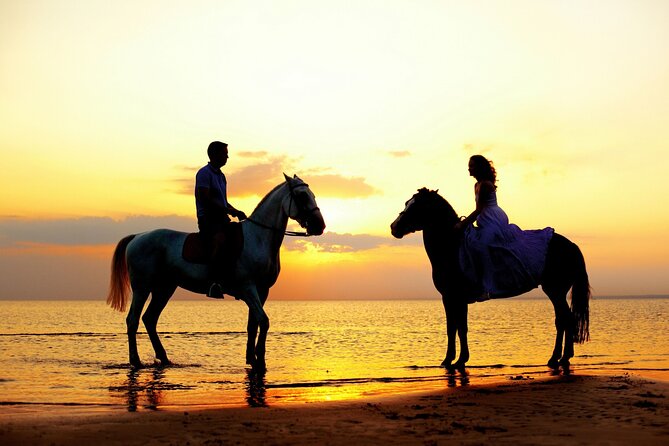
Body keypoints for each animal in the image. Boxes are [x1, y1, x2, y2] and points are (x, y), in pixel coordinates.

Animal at [107, 174, 325, 371]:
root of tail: (138, 237)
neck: (258, 237)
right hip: (142, 288)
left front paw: (252, 359)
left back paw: (164, 358)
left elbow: (253, 324)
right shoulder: (248, 287)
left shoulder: (262, 290)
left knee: (149, 319)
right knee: (133, 320)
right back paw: (135, 361)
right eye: (302, 196)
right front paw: (260, 361)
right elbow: (263, 321)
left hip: (165, 288)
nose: (320, 226)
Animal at [390, 188, 590, 371]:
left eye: (416, 206)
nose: (394, 227)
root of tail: (571, 245)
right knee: (563, 319)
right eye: (407, 203)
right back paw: (560, 358)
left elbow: (456, 327)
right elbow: (457, 327)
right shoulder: (454, 299)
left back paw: (560, 358)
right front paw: (454, 359)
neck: (452, 247)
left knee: (565, 319)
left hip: (555, 290)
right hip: (557, 291)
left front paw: (454, 360)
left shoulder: (452, 297)